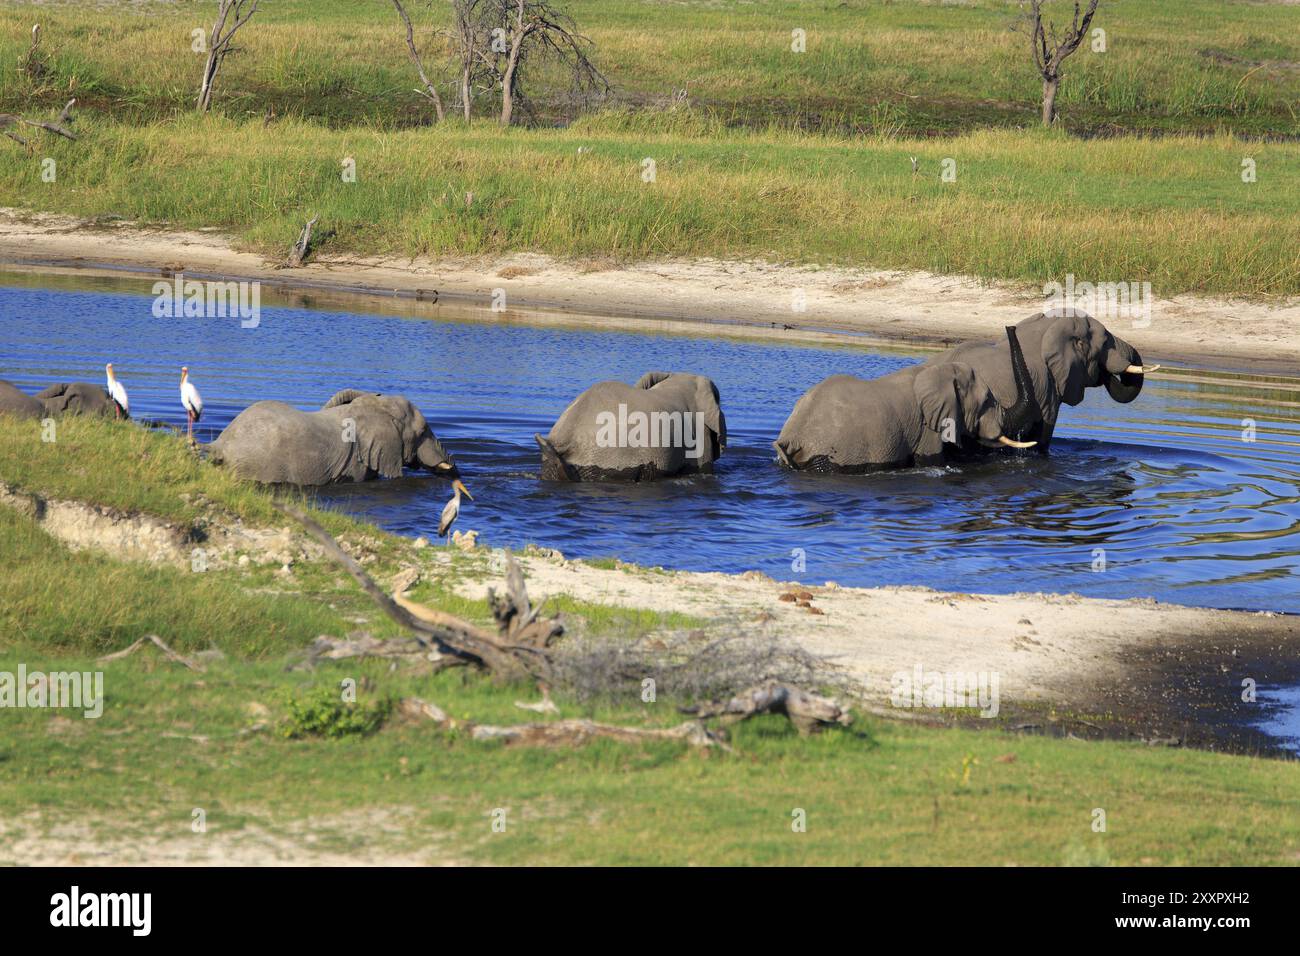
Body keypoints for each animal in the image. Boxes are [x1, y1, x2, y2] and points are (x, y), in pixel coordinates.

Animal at [773, 327, 1038, 472]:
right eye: (986, 402)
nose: (1010, 327)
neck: (938, 371)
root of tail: (791, 435)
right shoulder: (927, 428)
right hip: (831, 451)